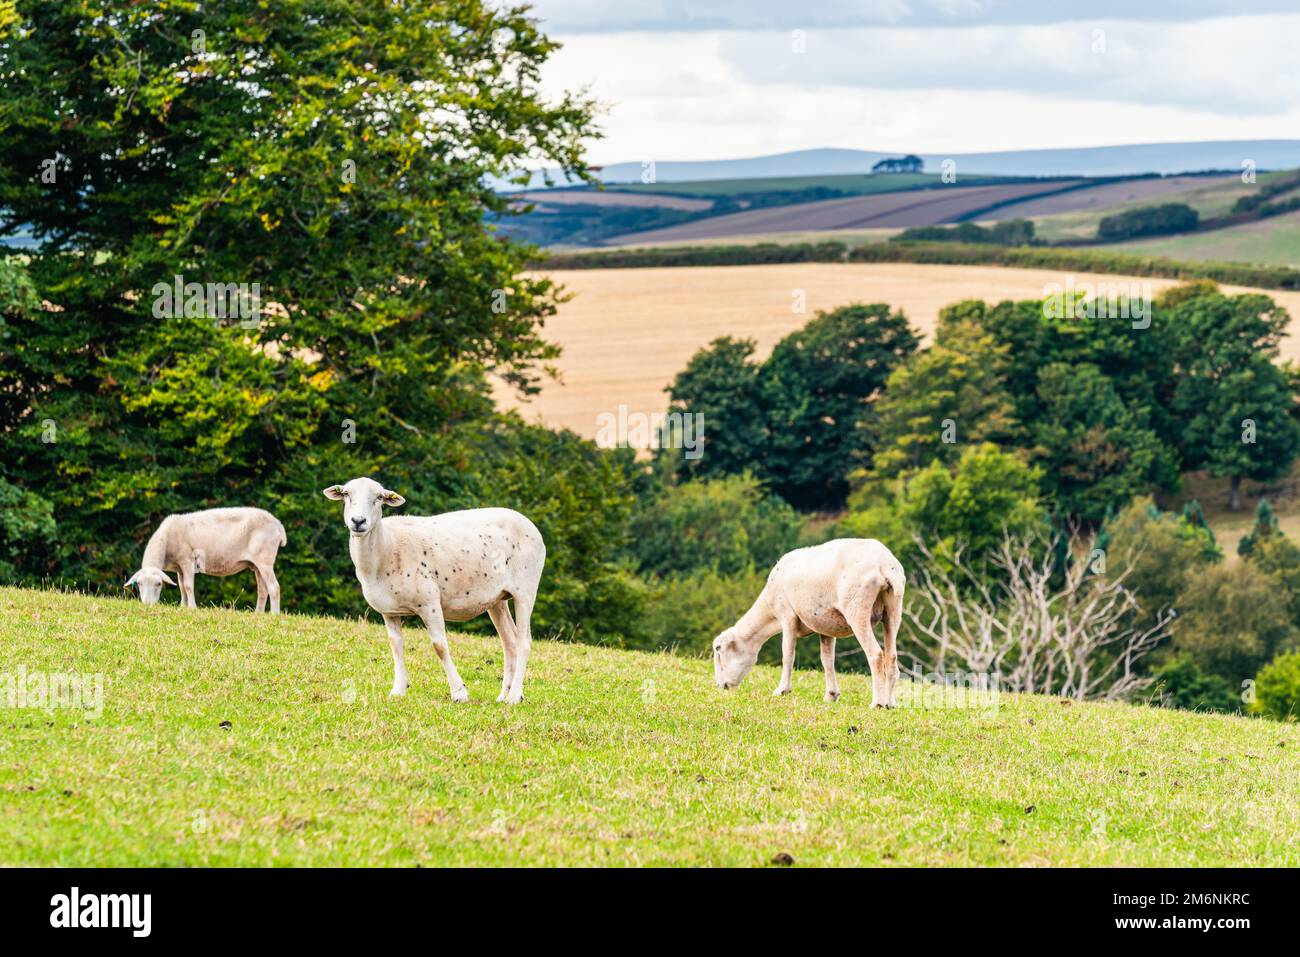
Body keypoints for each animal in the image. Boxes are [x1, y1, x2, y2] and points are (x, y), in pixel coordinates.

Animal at [126, 507, 287, 612]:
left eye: (159, 584)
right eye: (139, 584)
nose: (147, 605)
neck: (166, 541)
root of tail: (278, 525)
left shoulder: (187, 560)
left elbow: (188, 586)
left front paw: (192, 608)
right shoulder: (179, 566)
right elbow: (182, 586)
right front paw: (183, 607)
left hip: (265, 559)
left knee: (274, 587)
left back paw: (274, 615)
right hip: (257, 564)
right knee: (263, 590)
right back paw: (258, 614)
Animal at [322, 477, 546, 704]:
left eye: (379, 497)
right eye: (346, 494)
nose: (358, 521)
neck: (387, 547)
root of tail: (529, 524)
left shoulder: (429, 603)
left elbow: (439, 646)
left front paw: (459, 692)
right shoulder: (389, 611)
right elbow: (396, 645)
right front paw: (398, 690)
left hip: (526, 590)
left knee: (523, 642)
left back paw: (514, 696)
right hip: (497, 599)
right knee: (509, 642)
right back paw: (504, 695)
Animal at [712, 538, 905, 707]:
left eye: (718, 649)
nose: (721, 686)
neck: (769, 614)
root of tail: (884, 565)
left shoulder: (786, 615)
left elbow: (788, 654)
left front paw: (782, 690)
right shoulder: (826, 626)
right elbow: (827, 660)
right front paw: (831, 695)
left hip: (857, 608)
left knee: (876, 655)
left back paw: (878, 703)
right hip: (893, 609)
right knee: (891, 656)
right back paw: (890, 703)